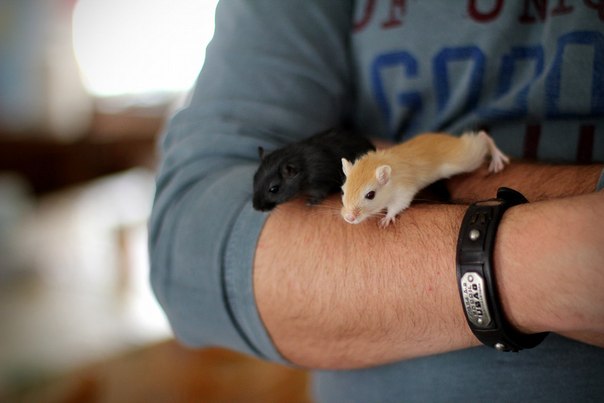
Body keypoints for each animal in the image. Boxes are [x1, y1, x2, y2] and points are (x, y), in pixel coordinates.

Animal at [340, 130, 509, 228]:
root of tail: (452, 138)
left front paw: (386, 220)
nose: (348, 218)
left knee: (482, 137)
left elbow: (397, 206)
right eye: (343, 191)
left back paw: (498, 160)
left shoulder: (404, 191)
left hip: (467, 158)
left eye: (370, 195)